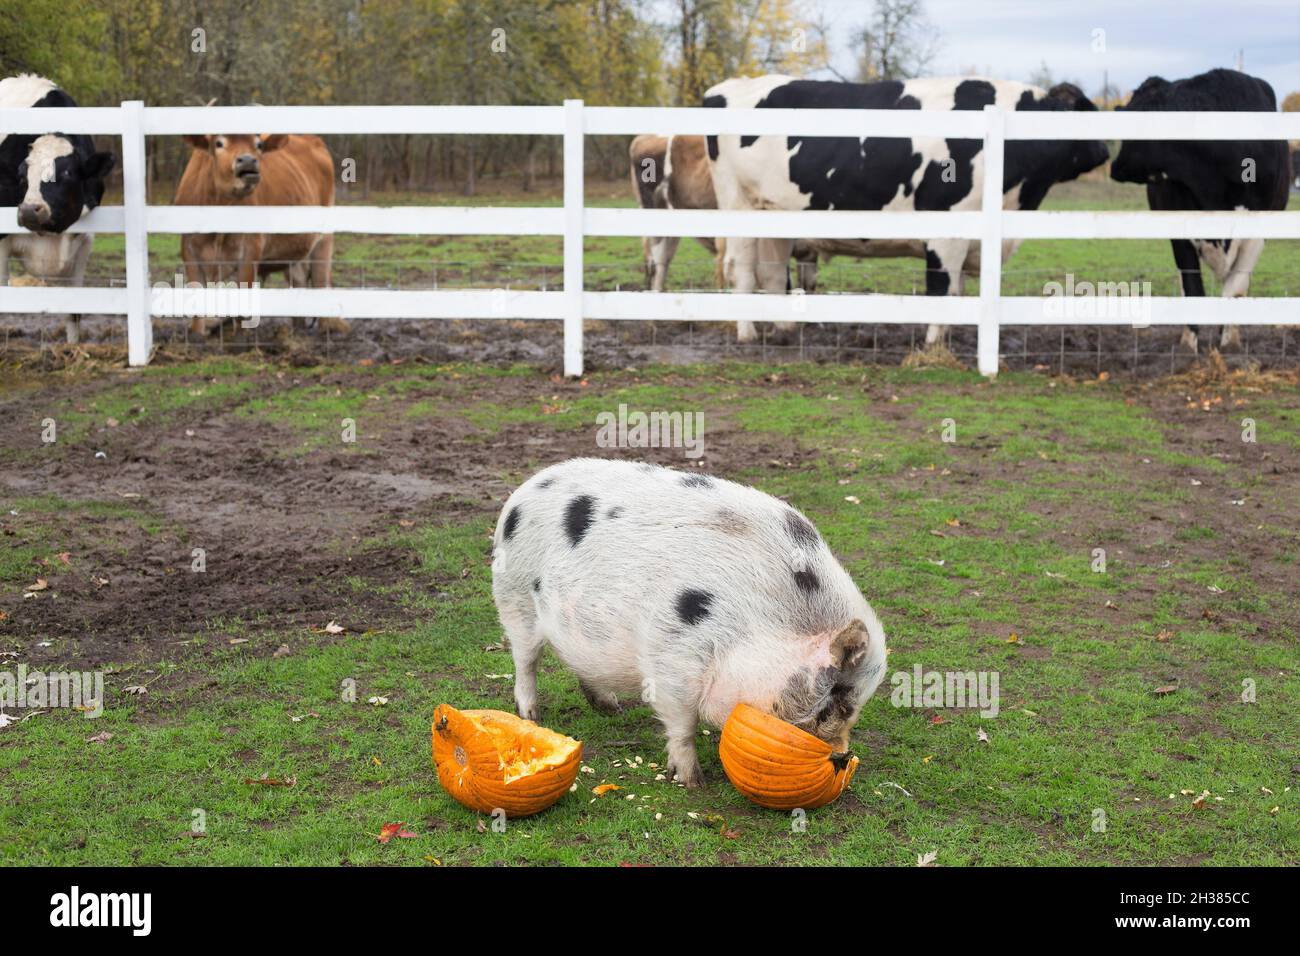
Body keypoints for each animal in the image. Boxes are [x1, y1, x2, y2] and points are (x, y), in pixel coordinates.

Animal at [0, 75, 116, 344]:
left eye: (67, 173)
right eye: (21, 176)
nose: (29, 210)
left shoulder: (84, 239)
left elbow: (74, 309)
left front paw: (73, 348)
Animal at [176, 131, 345, 335]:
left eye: (259, 145)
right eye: (219, 143)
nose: (248, 160)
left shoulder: (249, 252)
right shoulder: (189, 251)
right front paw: (198, 334)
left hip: (324, 240)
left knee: (321, 280)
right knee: (299, 279)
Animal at [490, 457, 888, 788]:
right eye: (836, 703)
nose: (842, 755)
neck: (759, 623)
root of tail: (524, 490)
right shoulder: (671, 652)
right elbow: (682, 721)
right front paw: (694, 782)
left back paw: (610, 707)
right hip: (514, 597)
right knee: (525, 660)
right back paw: (531, 715)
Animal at [703, 75, 1109, 344]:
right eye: (1085, 111)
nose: (1106, 150)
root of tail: (722, 88)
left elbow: (956, 292)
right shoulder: (948, 230)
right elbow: (941, 290)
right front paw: (931, 348)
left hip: (775, 214)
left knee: (772, 274)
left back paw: (784, 330)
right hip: (739, 207)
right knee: (742, 272)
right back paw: (747, 334)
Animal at [1110, 69, 1290, 352]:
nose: (1114, 166)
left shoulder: (1257, 232)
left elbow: (1235, 289)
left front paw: (1228, 346)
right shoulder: (1179, 226)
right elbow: (1192, 285)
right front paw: (1189, 346)